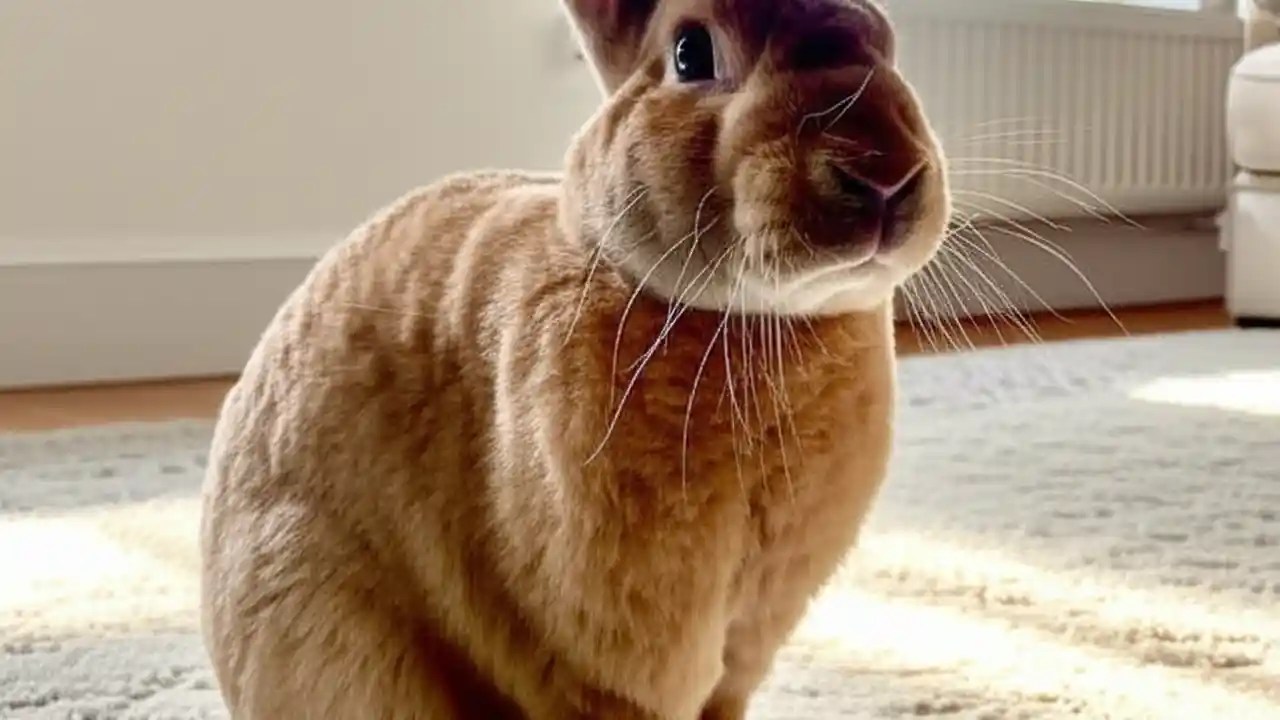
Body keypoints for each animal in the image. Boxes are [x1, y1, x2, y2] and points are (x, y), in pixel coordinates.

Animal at [199, 0, 951, 718]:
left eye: (886, 43)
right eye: (691, 53)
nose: (884, 177)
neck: (749, 320)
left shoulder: (742, 649)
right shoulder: (607, 658)